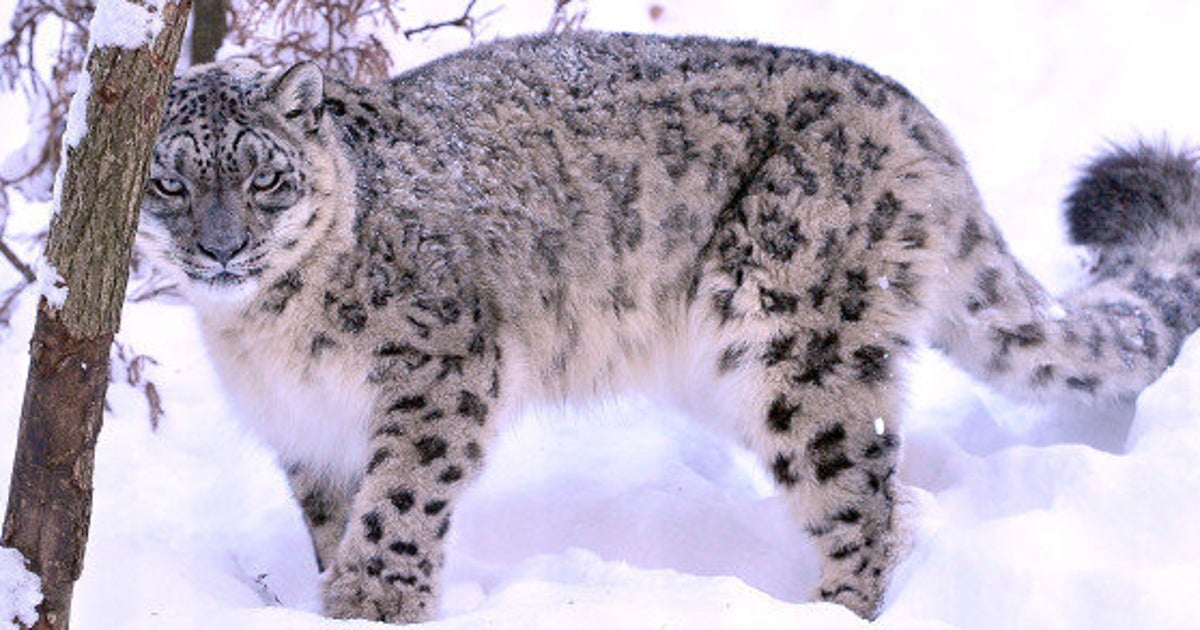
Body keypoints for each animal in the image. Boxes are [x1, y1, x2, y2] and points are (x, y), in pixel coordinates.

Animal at [136, 31, 1200, 623]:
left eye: (264, 177)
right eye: (171, 183)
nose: (223, 249)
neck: (265, 335)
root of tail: (914, 117)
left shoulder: (436, 371)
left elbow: (399, 503)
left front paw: (374, 602)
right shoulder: (308, 432)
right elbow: (337, 518)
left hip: (797, 339)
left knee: (858, 492)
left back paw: (826, 612)